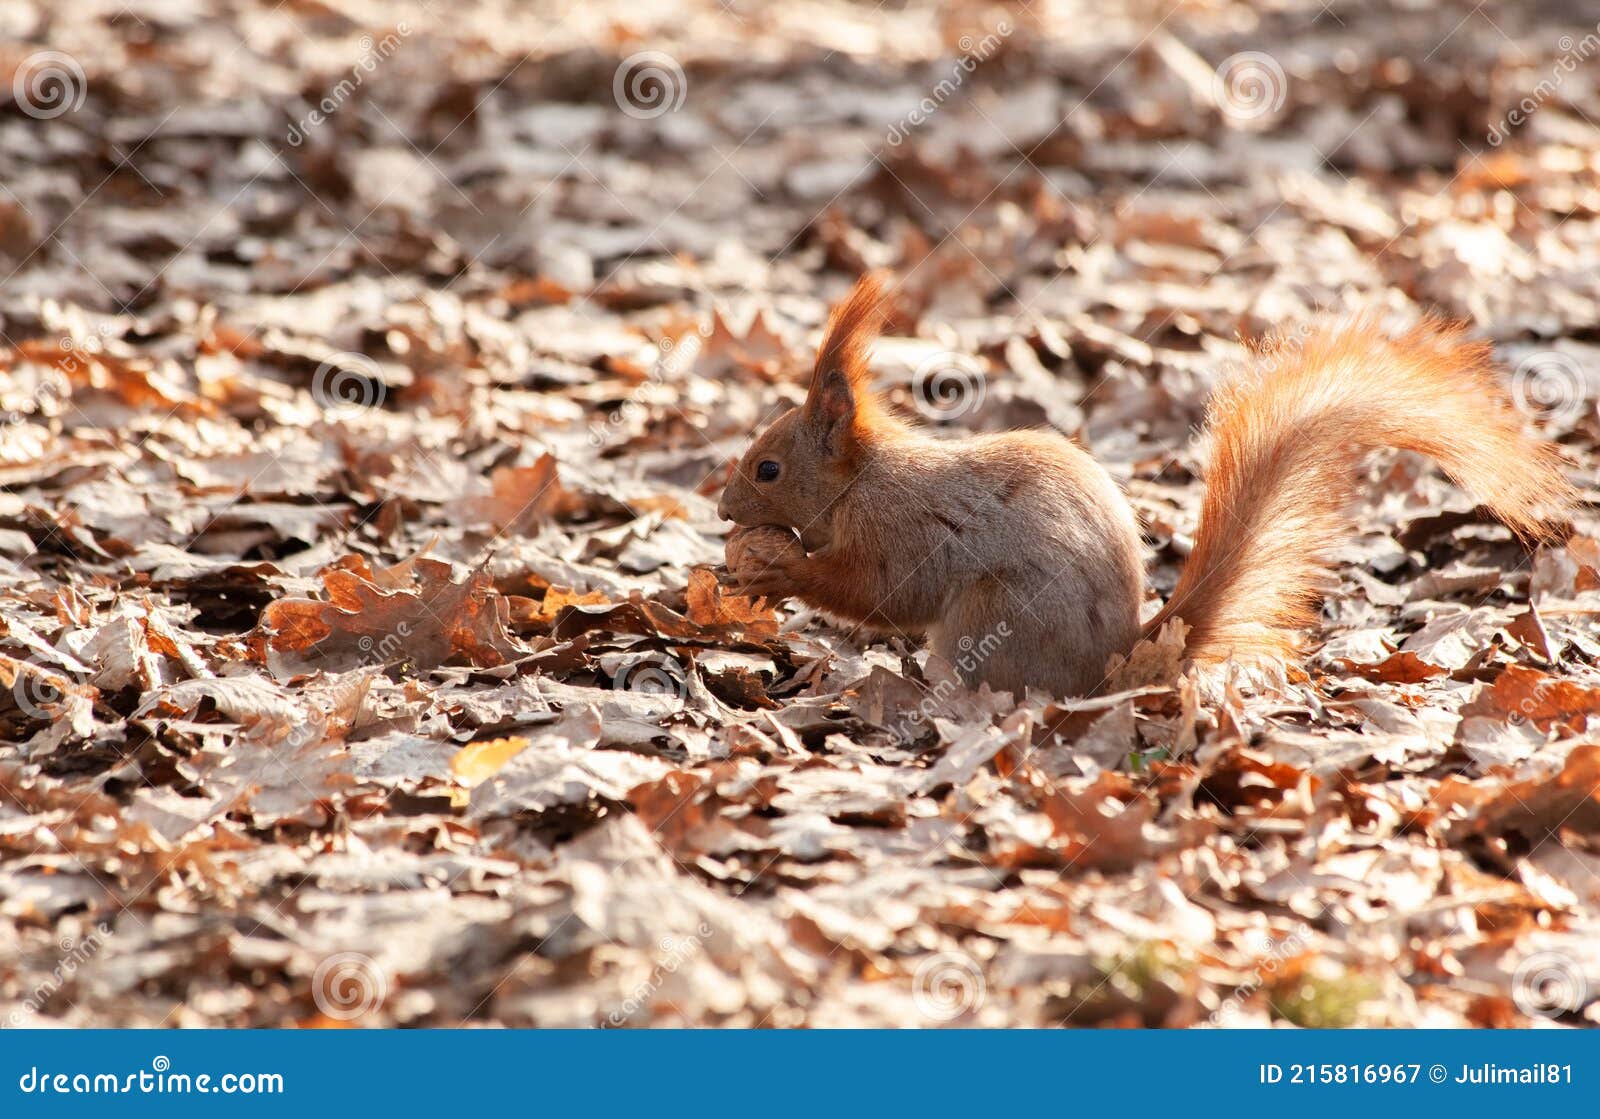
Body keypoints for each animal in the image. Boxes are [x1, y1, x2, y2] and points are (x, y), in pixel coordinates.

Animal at [716, 273, 1577, 698]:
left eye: (768, 468)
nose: (721, 505)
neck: (861, 479)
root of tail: (1119, 657)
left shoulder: (900, 531)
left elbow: (875, 592)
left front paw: (776, 566)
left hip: (985, 620)